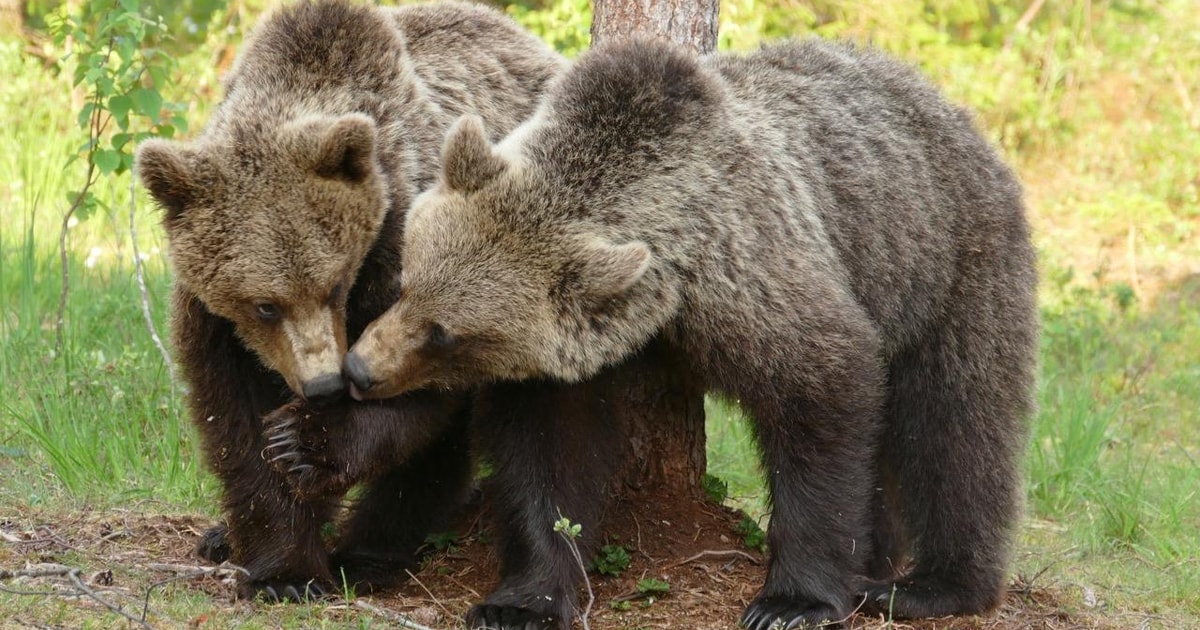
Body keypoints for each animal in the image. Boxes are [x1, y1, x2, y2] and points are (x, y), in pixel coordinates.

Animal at [134, 0, 564, 601]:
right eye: (265, 305)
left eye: (335, 285)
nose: (324, 385)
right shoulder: (216, 322)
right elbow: (234, 417)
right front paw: (283, 568)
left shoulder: (409, 252)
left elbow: (416, 386)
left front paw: (305, 444)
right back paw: (226, 537)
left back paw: (372, 552)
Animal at [341, 38, 1038, 629]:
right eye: (405, 283)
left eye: (445, 334)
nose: (359, 370)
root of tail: (948, 107)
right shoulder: (570, 355)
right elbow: (549, 457)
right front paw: (521, 600)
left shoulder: (749, 275)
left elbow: (824, 394)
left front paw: (791, 600)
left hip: (947, 264)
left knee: (957, 426)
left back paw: (935, 584)